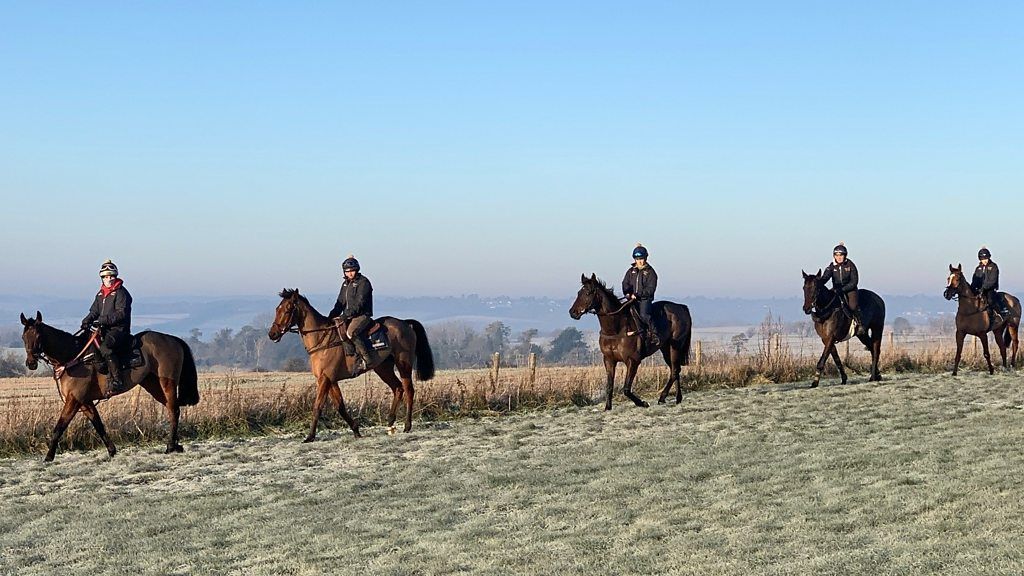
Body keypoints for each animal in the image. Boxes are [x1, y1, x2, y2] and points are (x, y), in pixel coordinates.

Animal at [20, 311, 199, 461]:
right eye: (23, 337)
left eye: (38, 335)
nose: (31, 363)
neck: (73, 357)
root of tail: (173, 339)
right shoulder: (85, 402)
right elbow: (99, 425)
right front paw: (112, 451)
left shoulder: (74, 399)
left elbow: (59, 427)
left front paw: (48, 457)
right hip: (152, 385)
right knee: (171, 408)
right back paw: (176, 444)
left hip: (167, 383)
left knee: (174, 409)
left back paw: (170, 446)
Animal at [267, 289, 435, 440]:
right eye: (277, 309)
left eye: (287, 309)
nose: (272, 334)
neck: (322, 339)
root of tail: (405, 323)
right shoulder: (331, 380)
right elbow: (340, 406)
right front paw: (356, 430)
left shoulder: (324, 379)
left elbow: (317, 406)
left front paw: (310, 436)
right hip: (383, 368)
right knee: (398, 388)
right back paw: (390, 422)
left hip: (403, 364)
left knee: (409, 390)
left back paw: (407, 426)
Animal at [569, 274, 692, 409]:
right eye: (579, 292)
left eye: (588, 293)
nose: (572, 312)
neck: (616, 329)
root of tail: (682, 307)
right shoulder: (609, 360)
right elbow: (609, 386)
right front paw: (607, 407)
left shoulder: (633, 361)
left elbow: (626, 389)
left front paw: (642, 403)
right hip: (665, 349)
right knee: (675, 370)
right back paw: (678, 398)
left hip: (675, 347)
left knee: (674, 371)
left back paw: (662, 397)